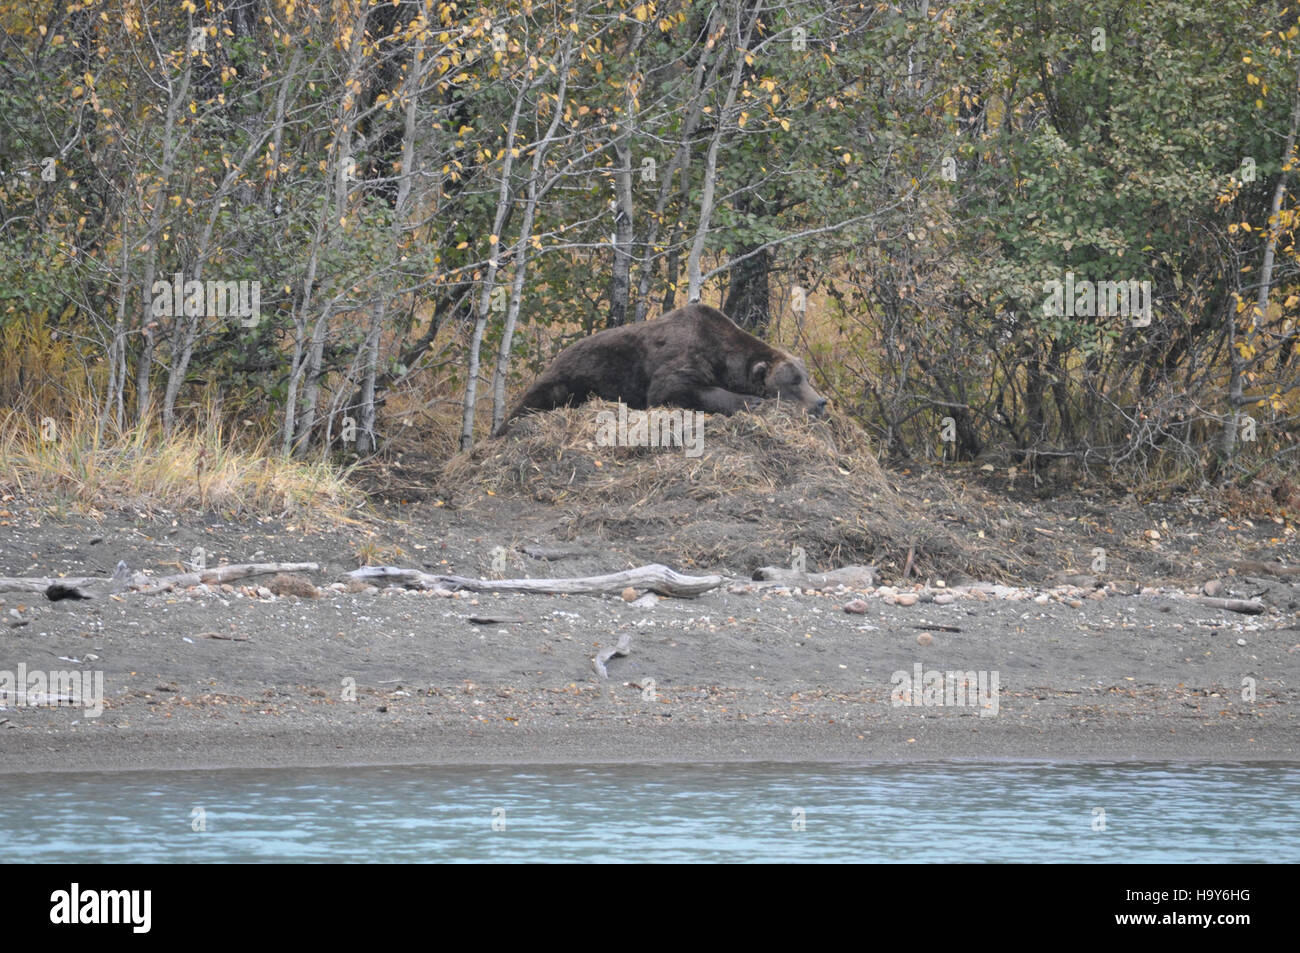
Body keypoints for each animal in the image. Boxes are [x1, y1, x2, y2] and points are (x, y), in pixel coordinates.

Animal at [493, 303, 827, 435]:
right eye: (793, 382)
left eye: (807, 377)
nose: (822, 402)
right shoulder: (682, 356)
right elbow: (672, 389)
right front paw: (753, 401)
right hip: (567, 377)